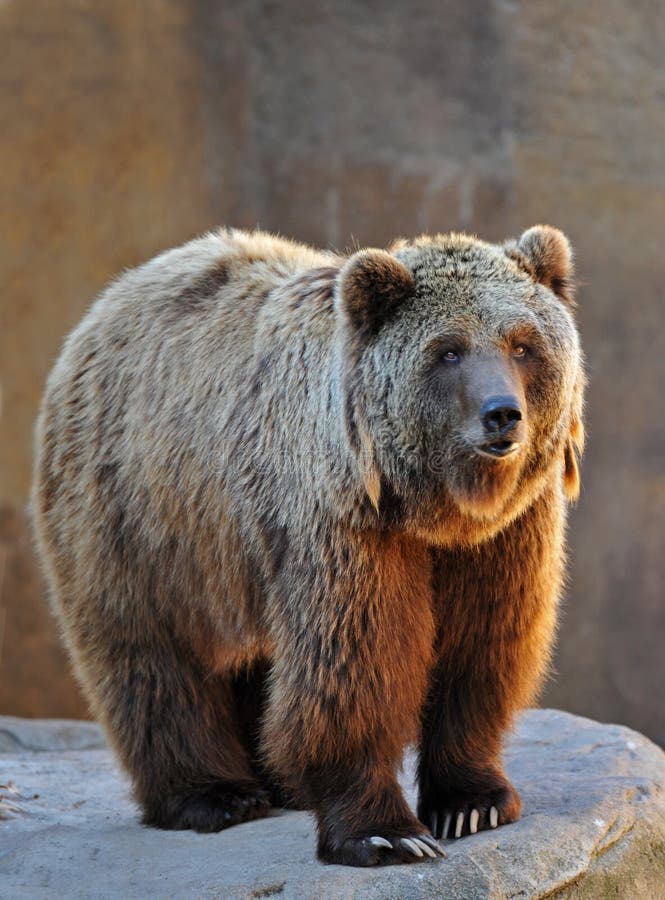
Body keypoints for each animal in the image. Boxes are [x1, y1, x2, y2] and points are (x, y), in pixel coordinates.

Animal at [32, 224, 584, 867]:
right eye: (448, 350)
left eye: (522, 344)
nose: (502, 415)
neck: (436, 507)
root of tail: (102, 310)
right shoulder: (345, 522)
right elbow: (353, 663)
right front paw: (386, 833)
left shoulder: (504, 537)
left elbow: (482, 647)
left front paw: (472, 803)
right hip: (141, 517)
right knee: (150, 656)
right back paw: (215, 795)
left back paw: (277, 783)